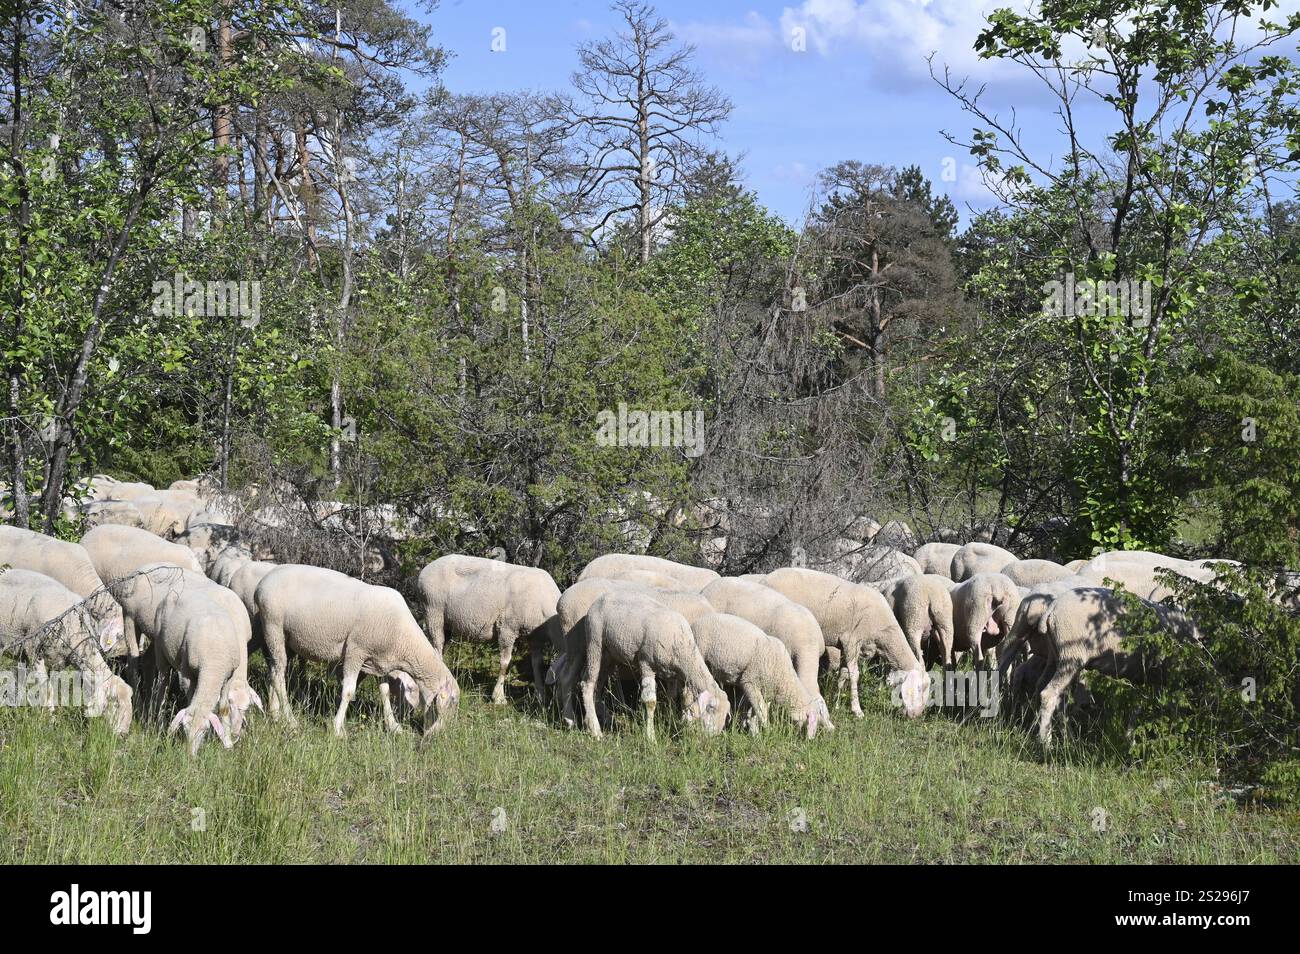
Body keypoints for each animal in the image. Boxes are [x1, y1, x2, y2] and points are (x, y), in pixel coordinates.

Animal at [152, 585, 262, 755]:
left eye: (204, 731)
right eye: (184, 729)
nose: (189, 755)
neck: (213, 664)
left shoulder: (228, 676)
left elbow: (222, 708)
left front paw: (227, 742)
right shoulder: (187, 673)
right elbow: (191, 697)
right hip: (160, 649)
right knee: (162, 686)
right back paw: (160, 722)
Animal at [254, 564, 459, 736]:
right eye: (453, 701)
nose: (439, 736)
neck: (403, 640)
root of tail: (263, 582)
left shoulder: (377, 661)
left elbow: (384, 692)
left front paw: (394, 726)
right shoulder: (356, 651)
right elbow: (348, 691)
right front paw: (337, 729)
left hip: (284, 638)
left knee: (273, 672)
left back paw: (275, 714)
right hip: (273, 626)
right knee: (279, 676)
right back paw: (290, 720)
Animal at [416, 554, 561, 706]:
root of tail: (427, 568)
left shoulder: (535, 637)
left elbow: (537, 664)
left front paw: (541, 696)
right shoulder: (507, 628)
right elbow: (505, 663)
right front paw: (499, 697)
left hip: (446, 622)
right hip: (433, 610)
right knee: (437, 647)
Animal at [573, 590, 729, 740]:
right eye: (711, 707)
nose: (712, 737)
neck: (682, 647)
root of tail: (601, 598)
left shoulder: (672, 673)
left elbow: (672, 696)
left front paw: (671, 722)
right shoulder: (646, 663)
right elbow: (650, 702)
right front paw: (650, 737)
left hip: (609, 654)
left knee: (598, 683)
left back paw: (601, 720)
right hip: (595, 642)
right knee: (587, 683)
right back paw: (595, 730)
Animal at [762, 567, 928, 718]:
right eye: (919, 688)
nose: (917, 715)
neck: (884, 633)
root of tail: (766, 578)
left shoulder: (844, 645)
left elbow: (843, 674)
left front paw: (836, 703)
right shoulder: (851, 641)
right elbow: (854, 675)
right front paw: (857, 710)